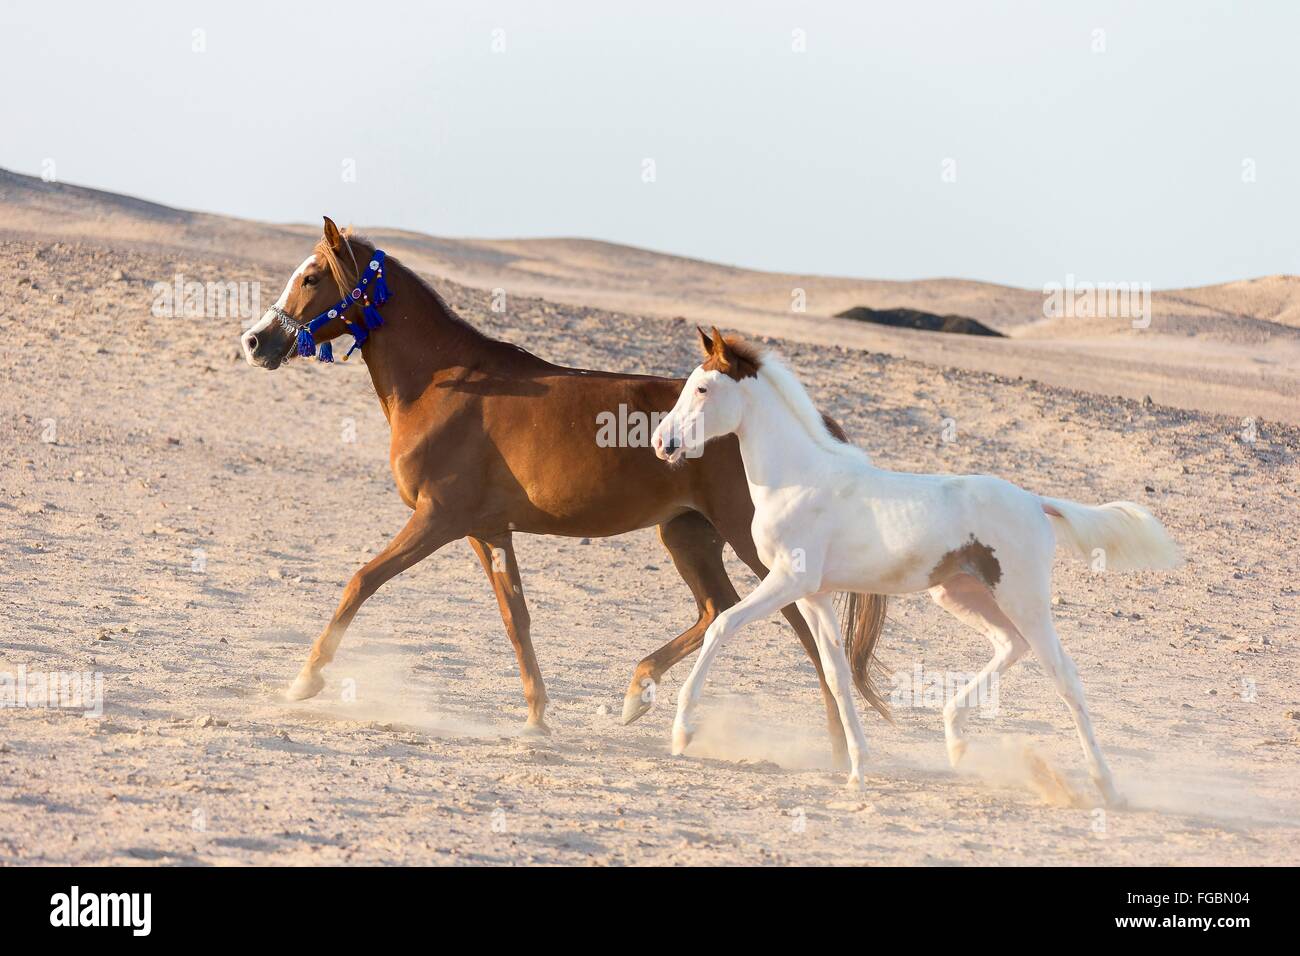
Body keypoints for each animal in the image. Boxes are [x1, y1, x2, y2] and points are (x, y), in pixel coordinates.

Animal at [238, 217, 888, 756]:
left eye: (312, 277)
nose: (255, 340)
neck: (446, 384)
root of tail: (802, 423)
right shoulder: (487, 531)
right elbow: (516, 619)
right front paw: (536, 718)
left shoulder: (437, 519)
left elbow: (361, 580)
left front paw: (304, 680)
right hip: (686, 533)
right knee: (716, 609)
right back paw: (638, 692)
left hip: (749, 542)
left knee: (803, 627)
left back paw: (835, 744)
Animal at [652, 328, 1182, 804]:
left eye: (702, 388)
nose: (663, 443)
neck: (798, 478)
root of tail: (1036, 501)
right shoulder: (813, 593)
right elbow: (837, 675)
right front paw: (858, 771)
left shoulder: (788, 581)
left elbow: (721, 626)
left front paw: (682, 732)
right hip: (960, 594)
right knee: (1011, 645)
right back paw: (956, 738)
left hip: (1023, 597)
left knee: (1064, 674)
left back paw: (1105, 786)